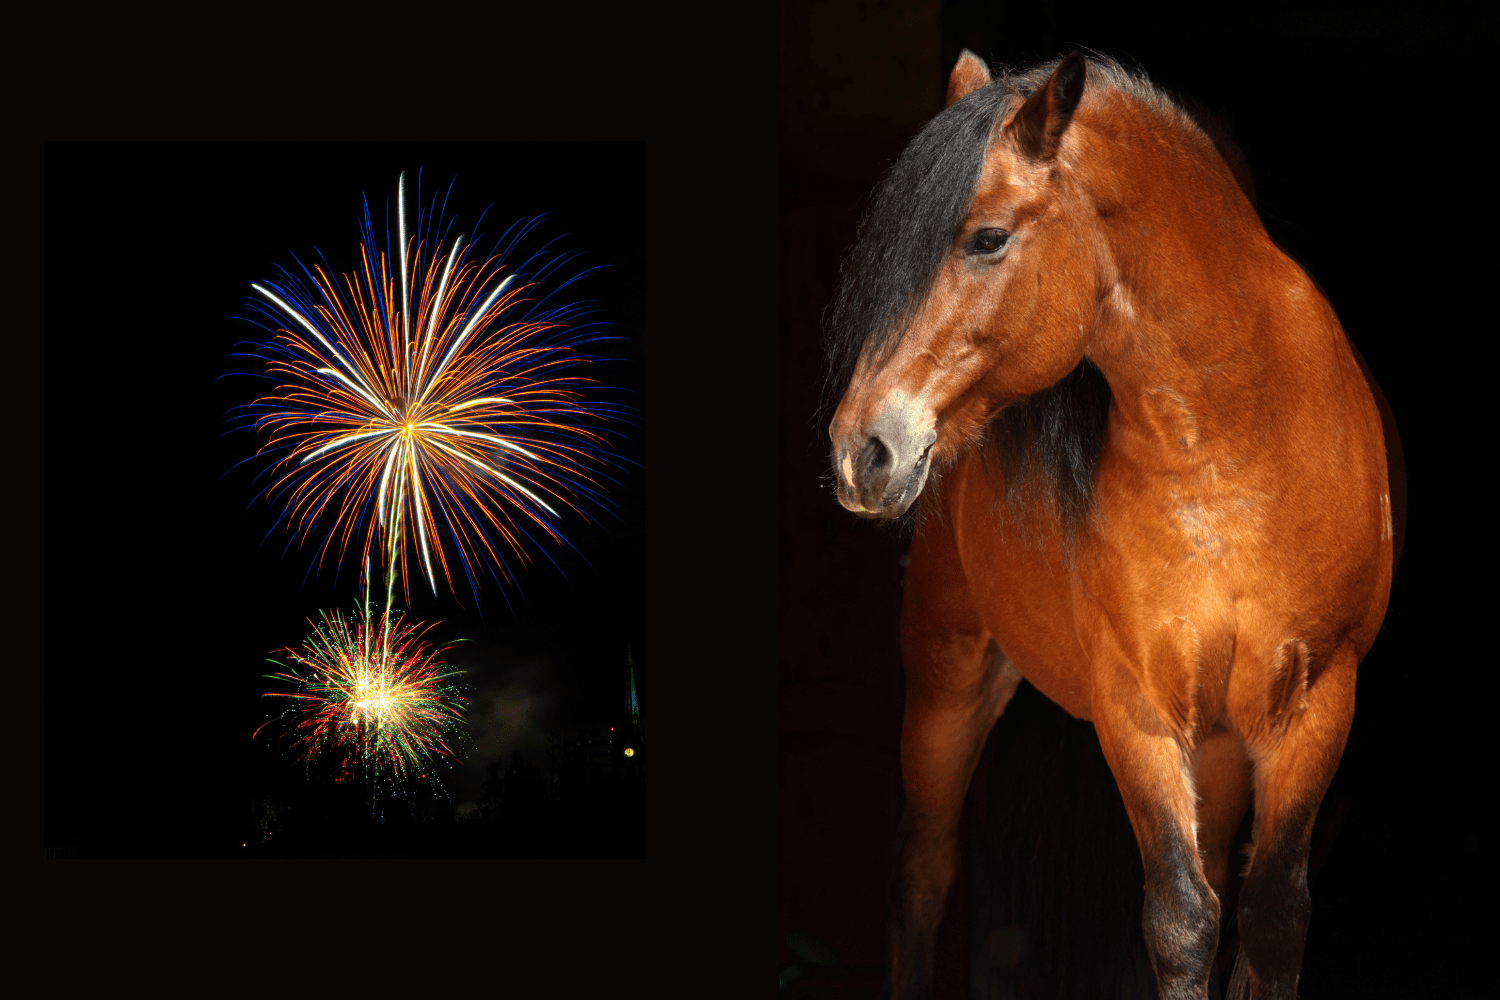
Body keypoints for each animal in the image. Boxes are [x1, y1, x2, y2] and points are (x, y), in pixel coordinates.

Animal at [825, 51, 1404, 1000]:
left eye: (988, 238)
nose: (860, 451)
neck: (1233, 444)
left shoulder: (1320, 700)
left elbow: (1271, 918)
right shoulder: (1136, 707)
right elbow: (1182, 919)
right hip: (949, 676)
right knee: (924, 869)